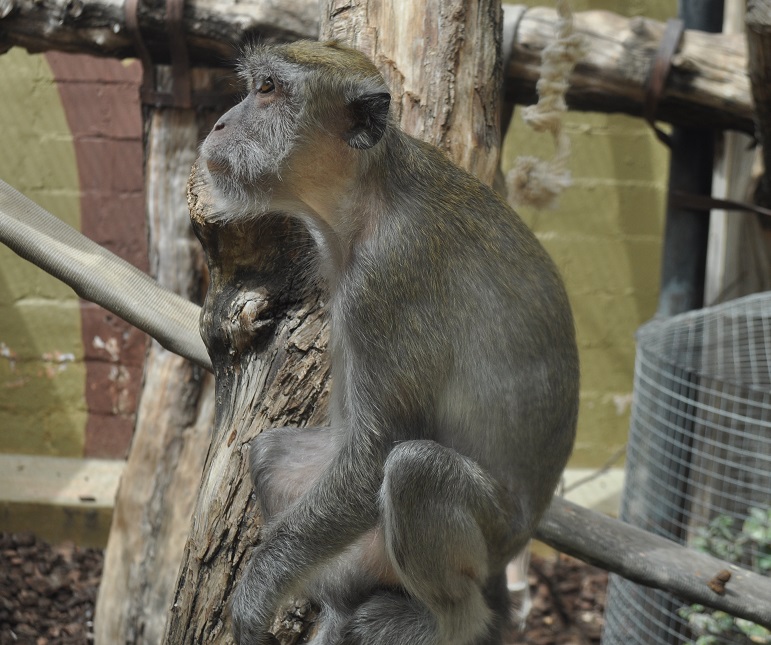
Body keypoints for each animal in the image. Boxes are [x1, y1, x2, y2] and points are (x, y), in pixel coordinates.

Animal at [200, 40, 579, 645]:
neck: (363, 194)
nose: (219, 123)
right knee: (273, 454)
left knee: (414, 472)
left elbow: (377, 454)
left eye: (268, 90)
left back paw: (448, 622)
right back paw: (339, 603)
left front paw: (256, 593)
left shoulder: (387, 280)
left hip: (487, 539)